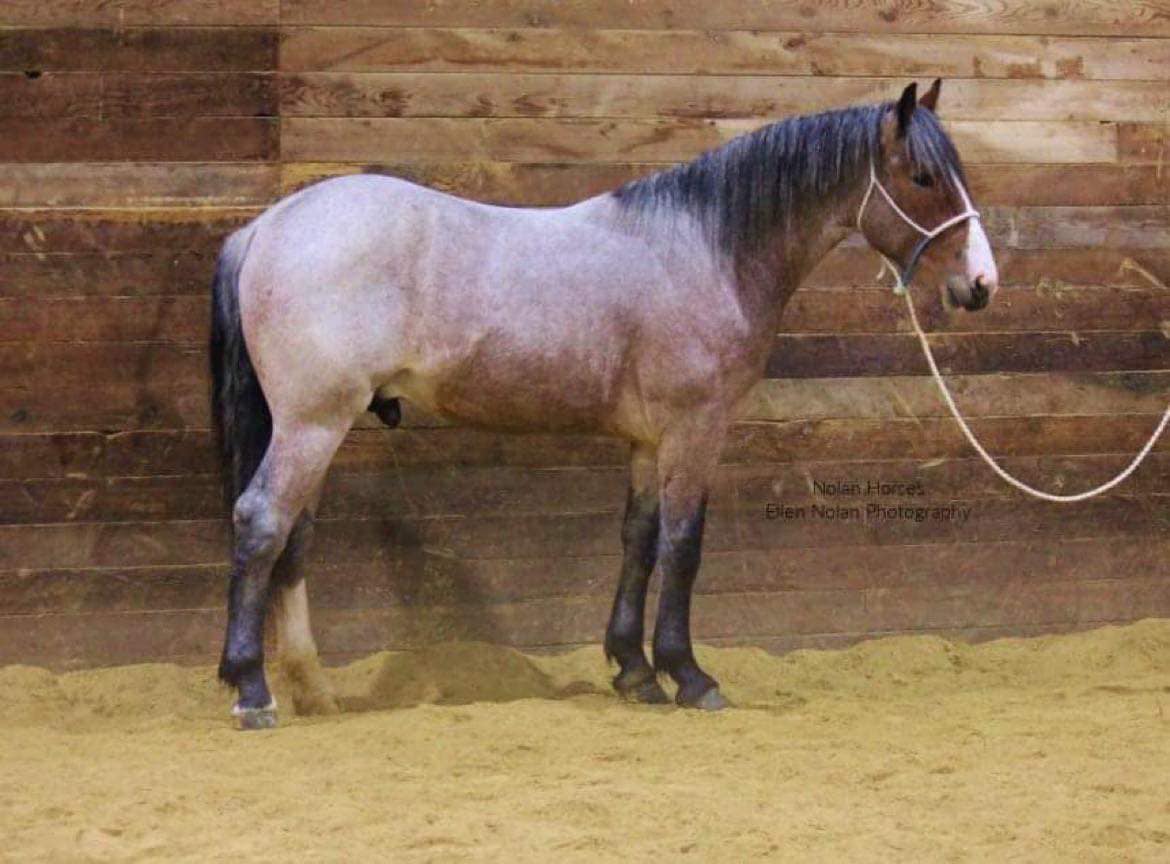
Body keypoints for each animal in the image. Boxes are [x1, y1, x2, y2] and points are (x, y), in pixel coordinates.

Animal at [209, 80, 998, 728]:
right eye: (923, 177)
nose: (982, 284)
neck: (706, 248)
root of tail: (269, 225)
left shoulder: (648, 442)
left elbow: (638, 540)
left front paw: (634, 670)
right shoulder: (695, 430)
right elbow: (683, 546)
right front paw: (689, 675)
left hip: (311, 428)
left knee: (294, 541)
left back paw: (311, 690)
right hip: (313, 424)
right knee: (263, 524)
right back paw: (253, 691)